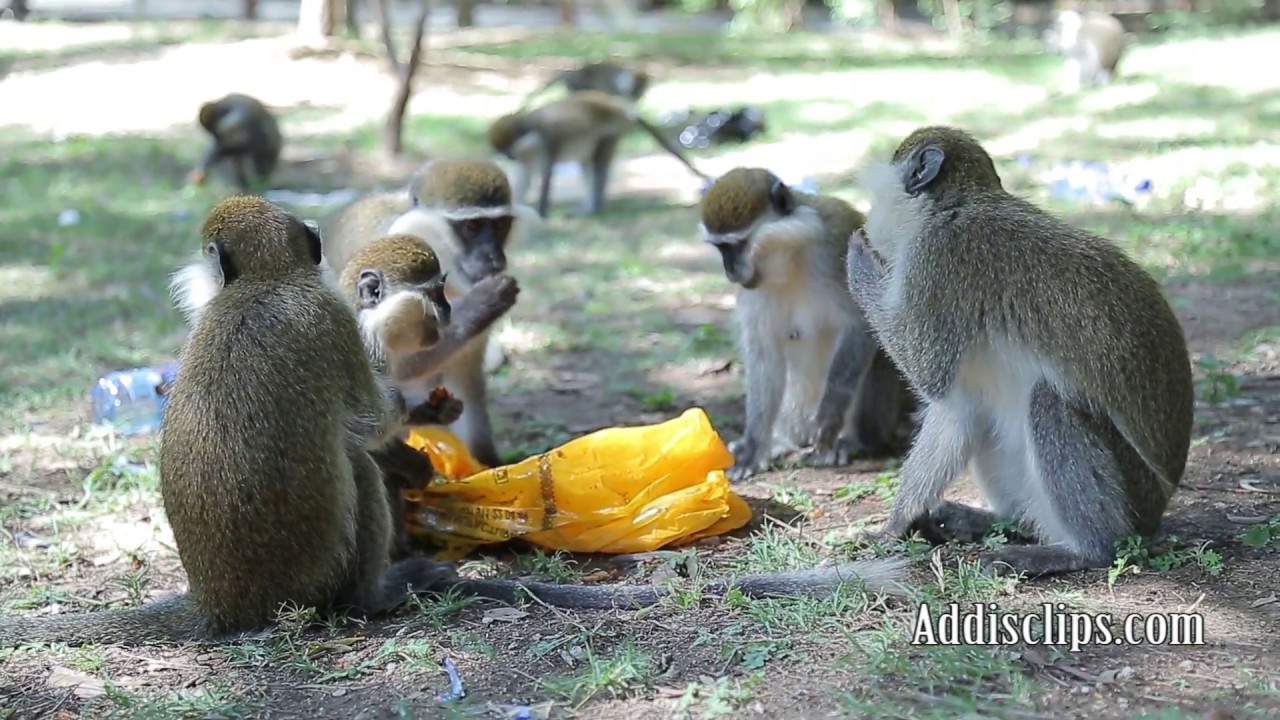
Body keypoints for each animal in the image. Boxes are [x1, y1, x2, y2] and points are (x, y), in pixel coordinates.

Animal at [0, 196, 461, 647]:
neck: (265, 279)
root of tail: (217, 603)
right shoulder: (332, 315)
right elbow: (371, 422)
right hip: (308, 582)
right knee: (360, 466)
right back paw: (372, 596)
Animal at [488, 90, 713, 219]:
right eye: (500, 152)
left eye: (507, 151)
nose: (508, 157)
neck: (529, 132)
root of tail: (617, 106)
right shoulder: (527, 156)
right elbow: (525, 177)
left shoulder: (549, 139)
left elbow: (547, 176)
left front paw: (542, 214)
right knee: (587, 162)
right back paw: (588, 209)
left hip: (612, 131)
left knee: (598, 164)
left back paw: (593, 210)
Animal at [518, 60, 651, 111]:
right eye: (634, 87)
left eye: (641, 90)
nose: (637, 95)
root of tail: (575, 72)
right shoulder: (617, 86)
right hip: (579, 83)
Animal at [698, 168, 916, 482]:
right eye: (720, 248)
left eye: (737, 245)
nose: (730, 271)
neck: (789, 258)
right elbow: (764, 355)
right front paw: (753, 448)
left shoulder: (837, 248)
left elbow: (864, 321)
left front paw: (829, 418)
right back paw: (783, 442)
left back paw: (854, 441)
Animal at [842, 126, 1195, 579]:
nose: (869, 217)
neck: (957, 205)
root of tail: (1159, 511)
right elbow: (955, 409)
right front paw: (894, 526)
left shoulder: (941, 256)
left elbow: (927, 368)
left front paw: (857, 255)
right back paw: (992, 521)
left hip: (1137, 496)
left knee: (1049, 401)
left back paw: (1082, 551)